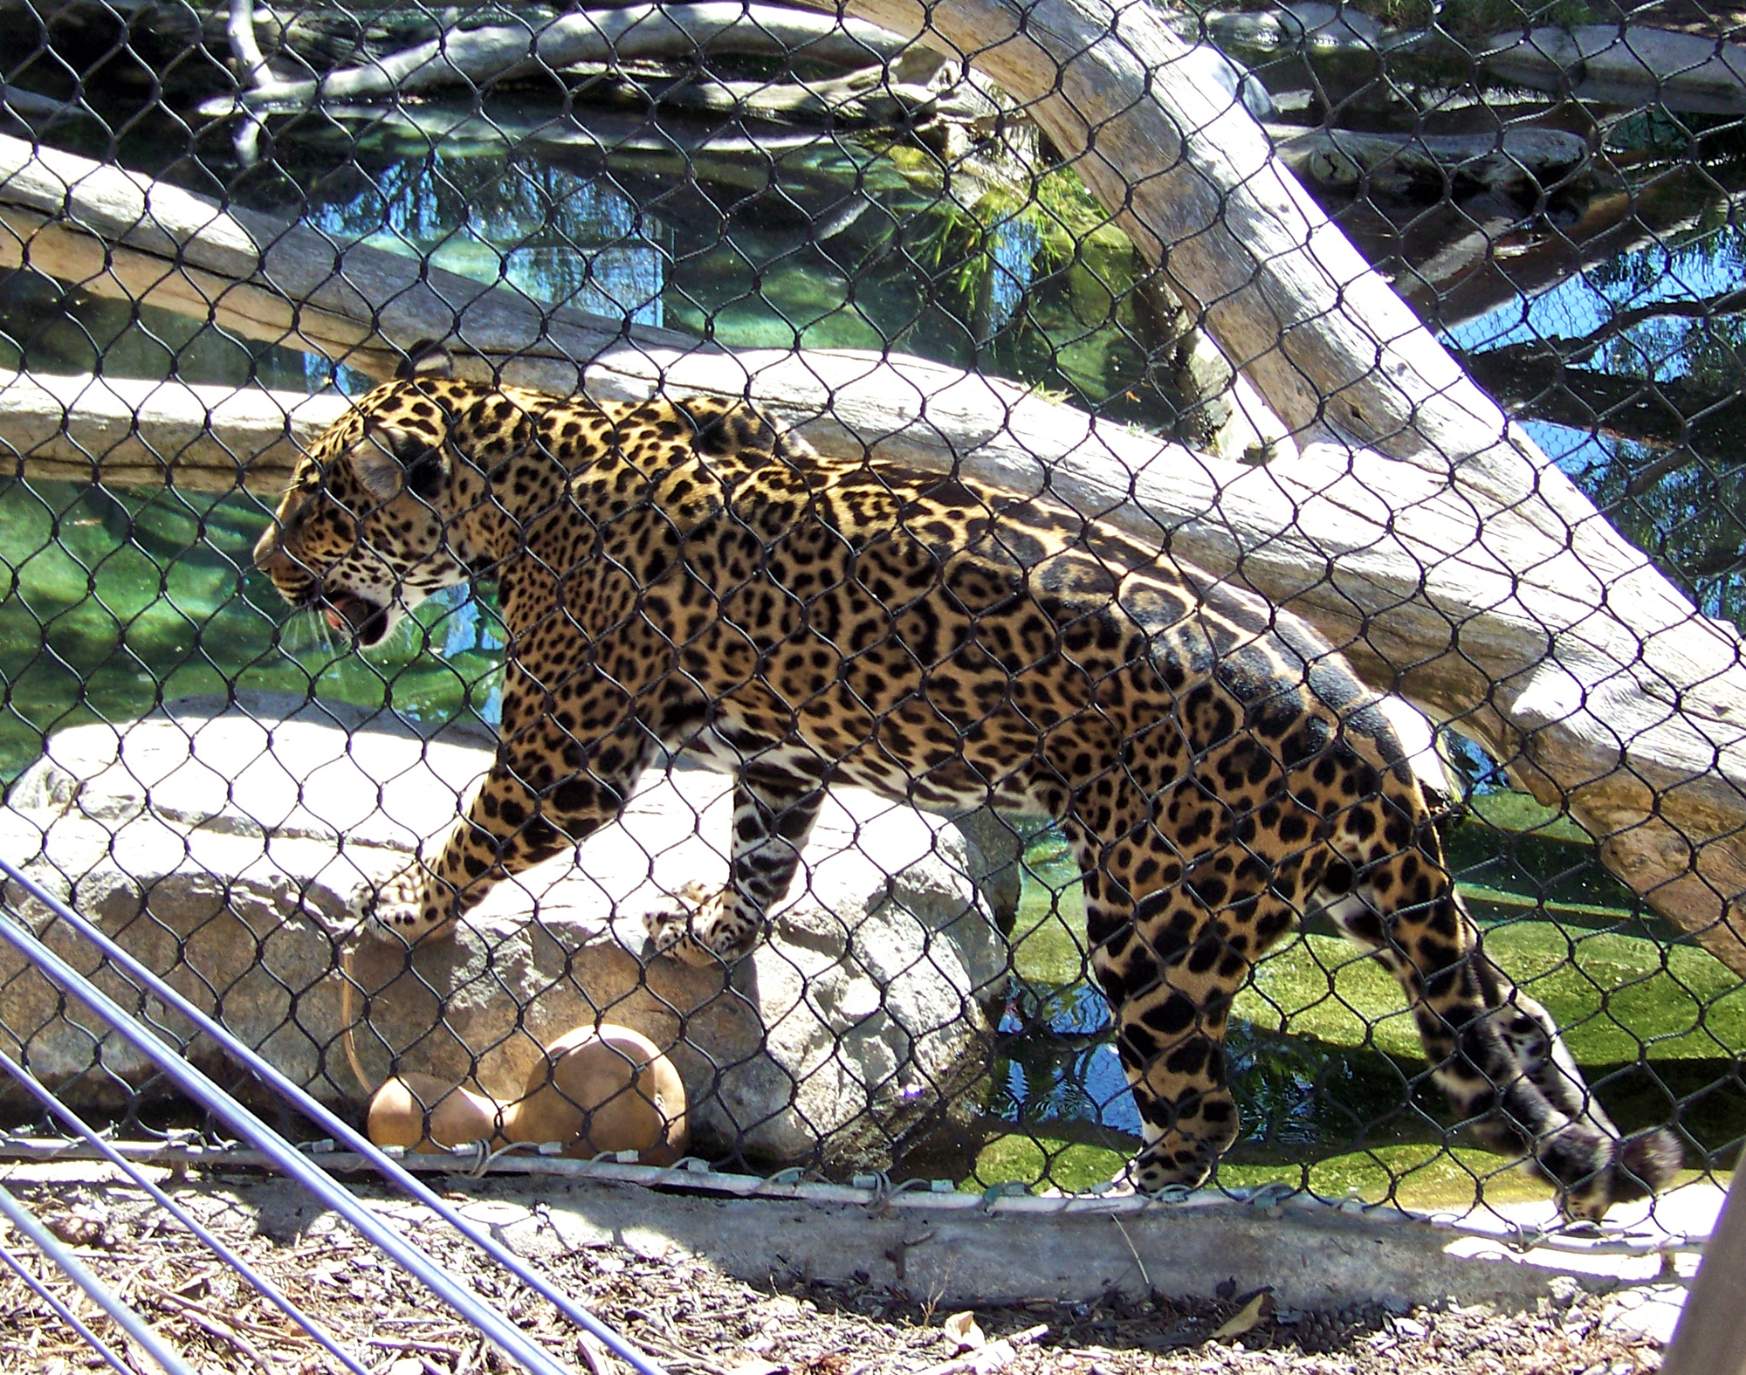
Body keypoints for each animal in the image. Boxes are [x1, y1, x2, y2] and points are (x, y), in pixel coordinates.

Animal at [254, 343, 1680, 1219]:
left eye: (317, 501)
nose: (266, 565)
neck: (526, 462)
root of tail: (1365, 732)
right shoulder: (779, 743)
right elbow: (762, 848)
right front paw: (710, 924)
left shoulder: (570, 748)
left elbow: (484, 830)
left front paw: (401, 899)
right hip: (1372, 896)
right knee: (1507, 1020)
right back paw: (1576, 1151)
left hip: (1159, 923)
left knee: (1204, 1105)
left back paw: (1120, 1196)